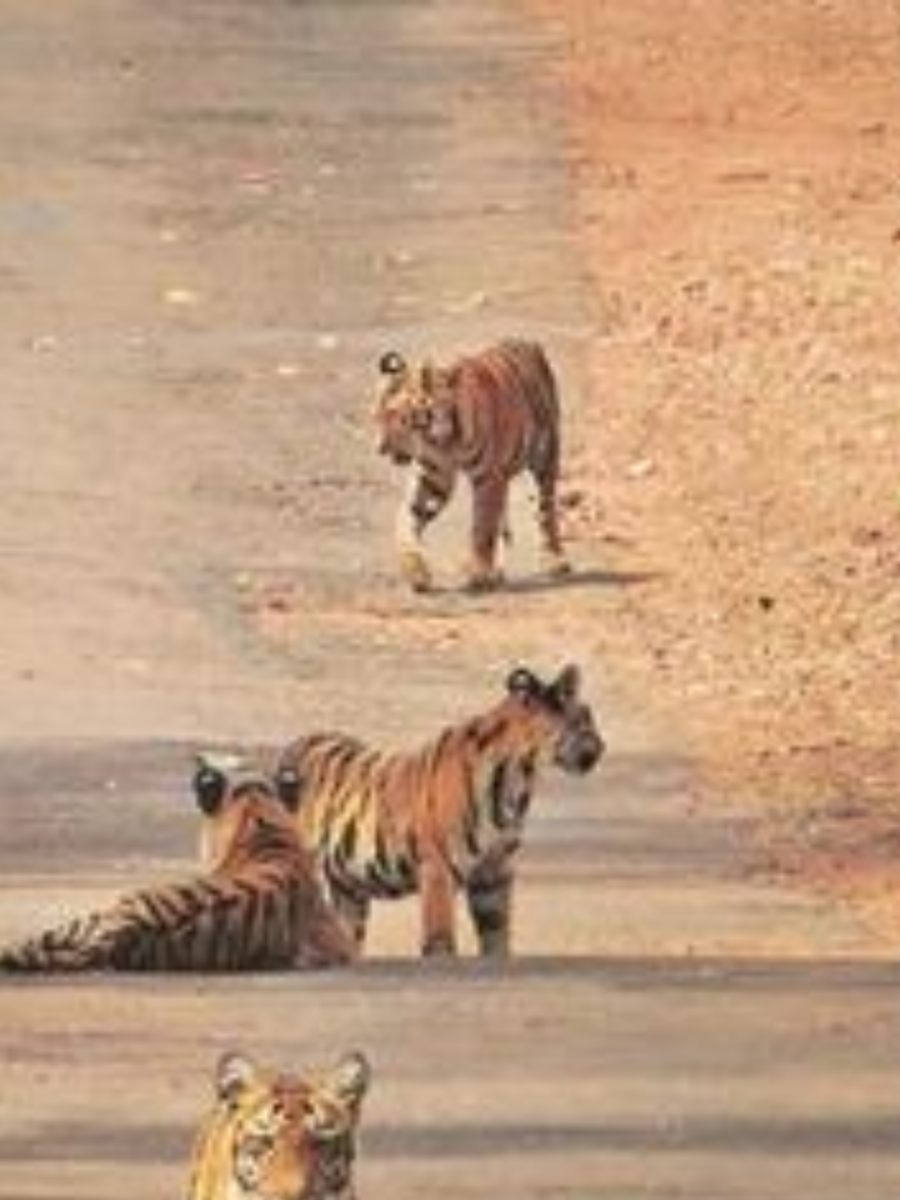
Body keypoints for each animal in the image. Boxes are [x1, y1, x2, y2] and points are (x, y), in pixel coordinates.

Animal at [276, 664, 604, 959]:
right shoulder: (438, 867)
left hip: (347, 887)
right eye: (583, 719)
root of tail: (294, 745)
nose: (602, 747)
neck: (518, 777)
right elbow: (440, 936)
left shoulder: (495, 872)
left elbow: (497, 937)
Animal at [373, 338, 571, 592]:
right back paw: (497, 571)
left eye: (396, 416)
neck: (443, 442)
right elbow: (409, 517)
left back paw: (554, 561)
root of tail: (530, 343)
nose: (379, 449)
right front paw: (414, 570)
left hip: (544, 457)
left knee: (545, 513)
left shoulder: (488, 477)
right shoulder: (434, 476)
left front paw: (478, 572)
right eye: (376, 417)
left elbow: (482, 527)